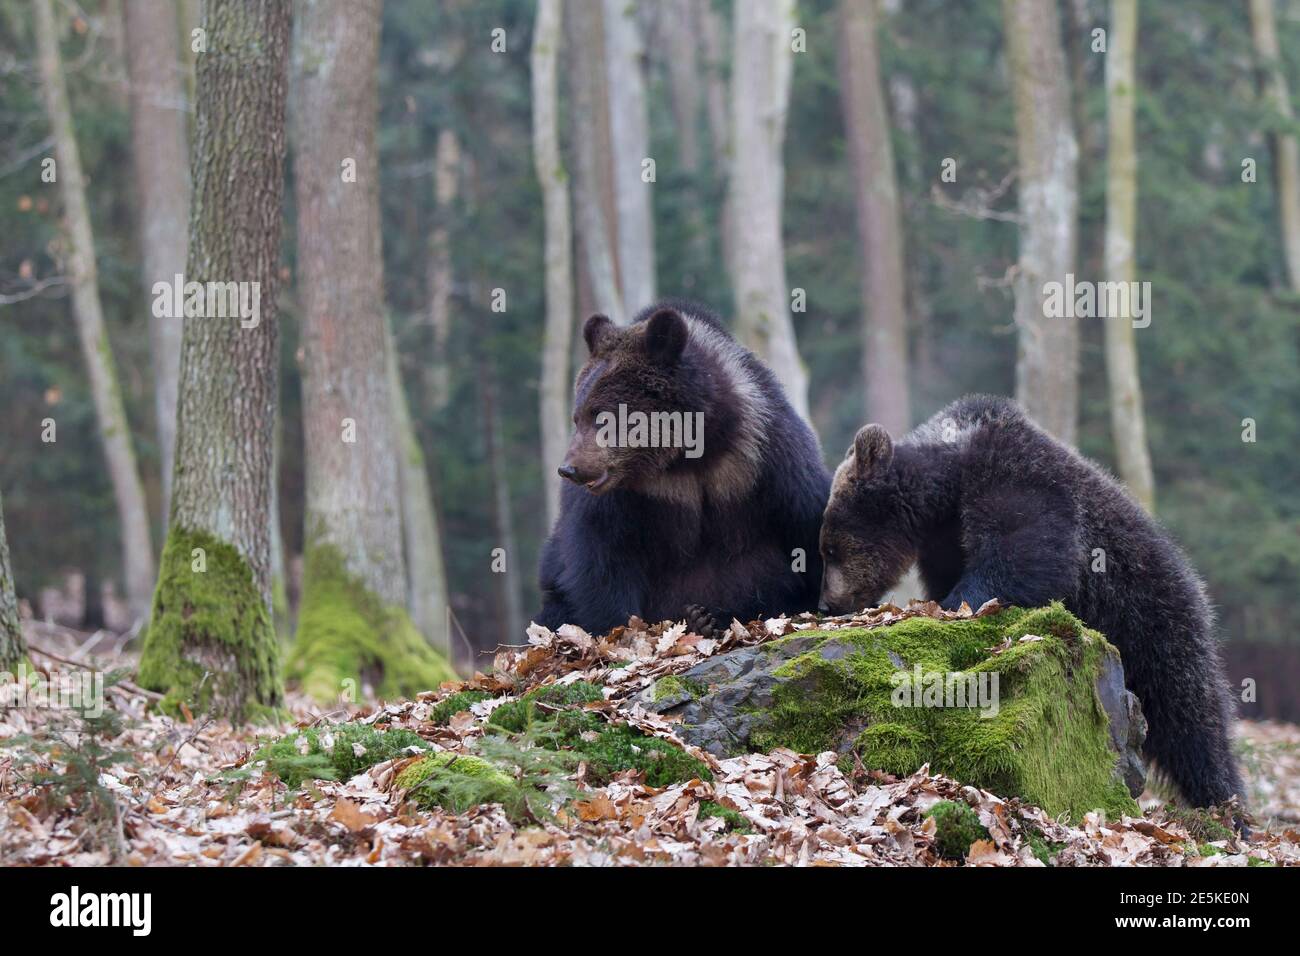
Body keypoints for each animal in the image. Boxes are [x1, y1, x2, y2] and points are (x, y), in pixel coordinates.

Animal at [536, 300, 831, 638]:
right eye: (578, 416)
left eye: (601, 416)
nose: (569, 469)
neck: (686, 453)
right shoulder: (624, 494)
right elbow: (601, 549)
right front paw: (615, 626)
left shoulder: (761, 451)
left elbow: (805, 516)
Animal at [816, 394, 1243, 809]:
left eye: (830, 548)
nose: (825, 604)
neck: (950, 479)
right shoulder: (945, 538)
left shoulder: (1018, 480)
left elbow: (1023, 554)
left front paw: (953, 605)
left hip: (1154, 617)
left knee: (1193, 718)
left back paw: (1225, 802)